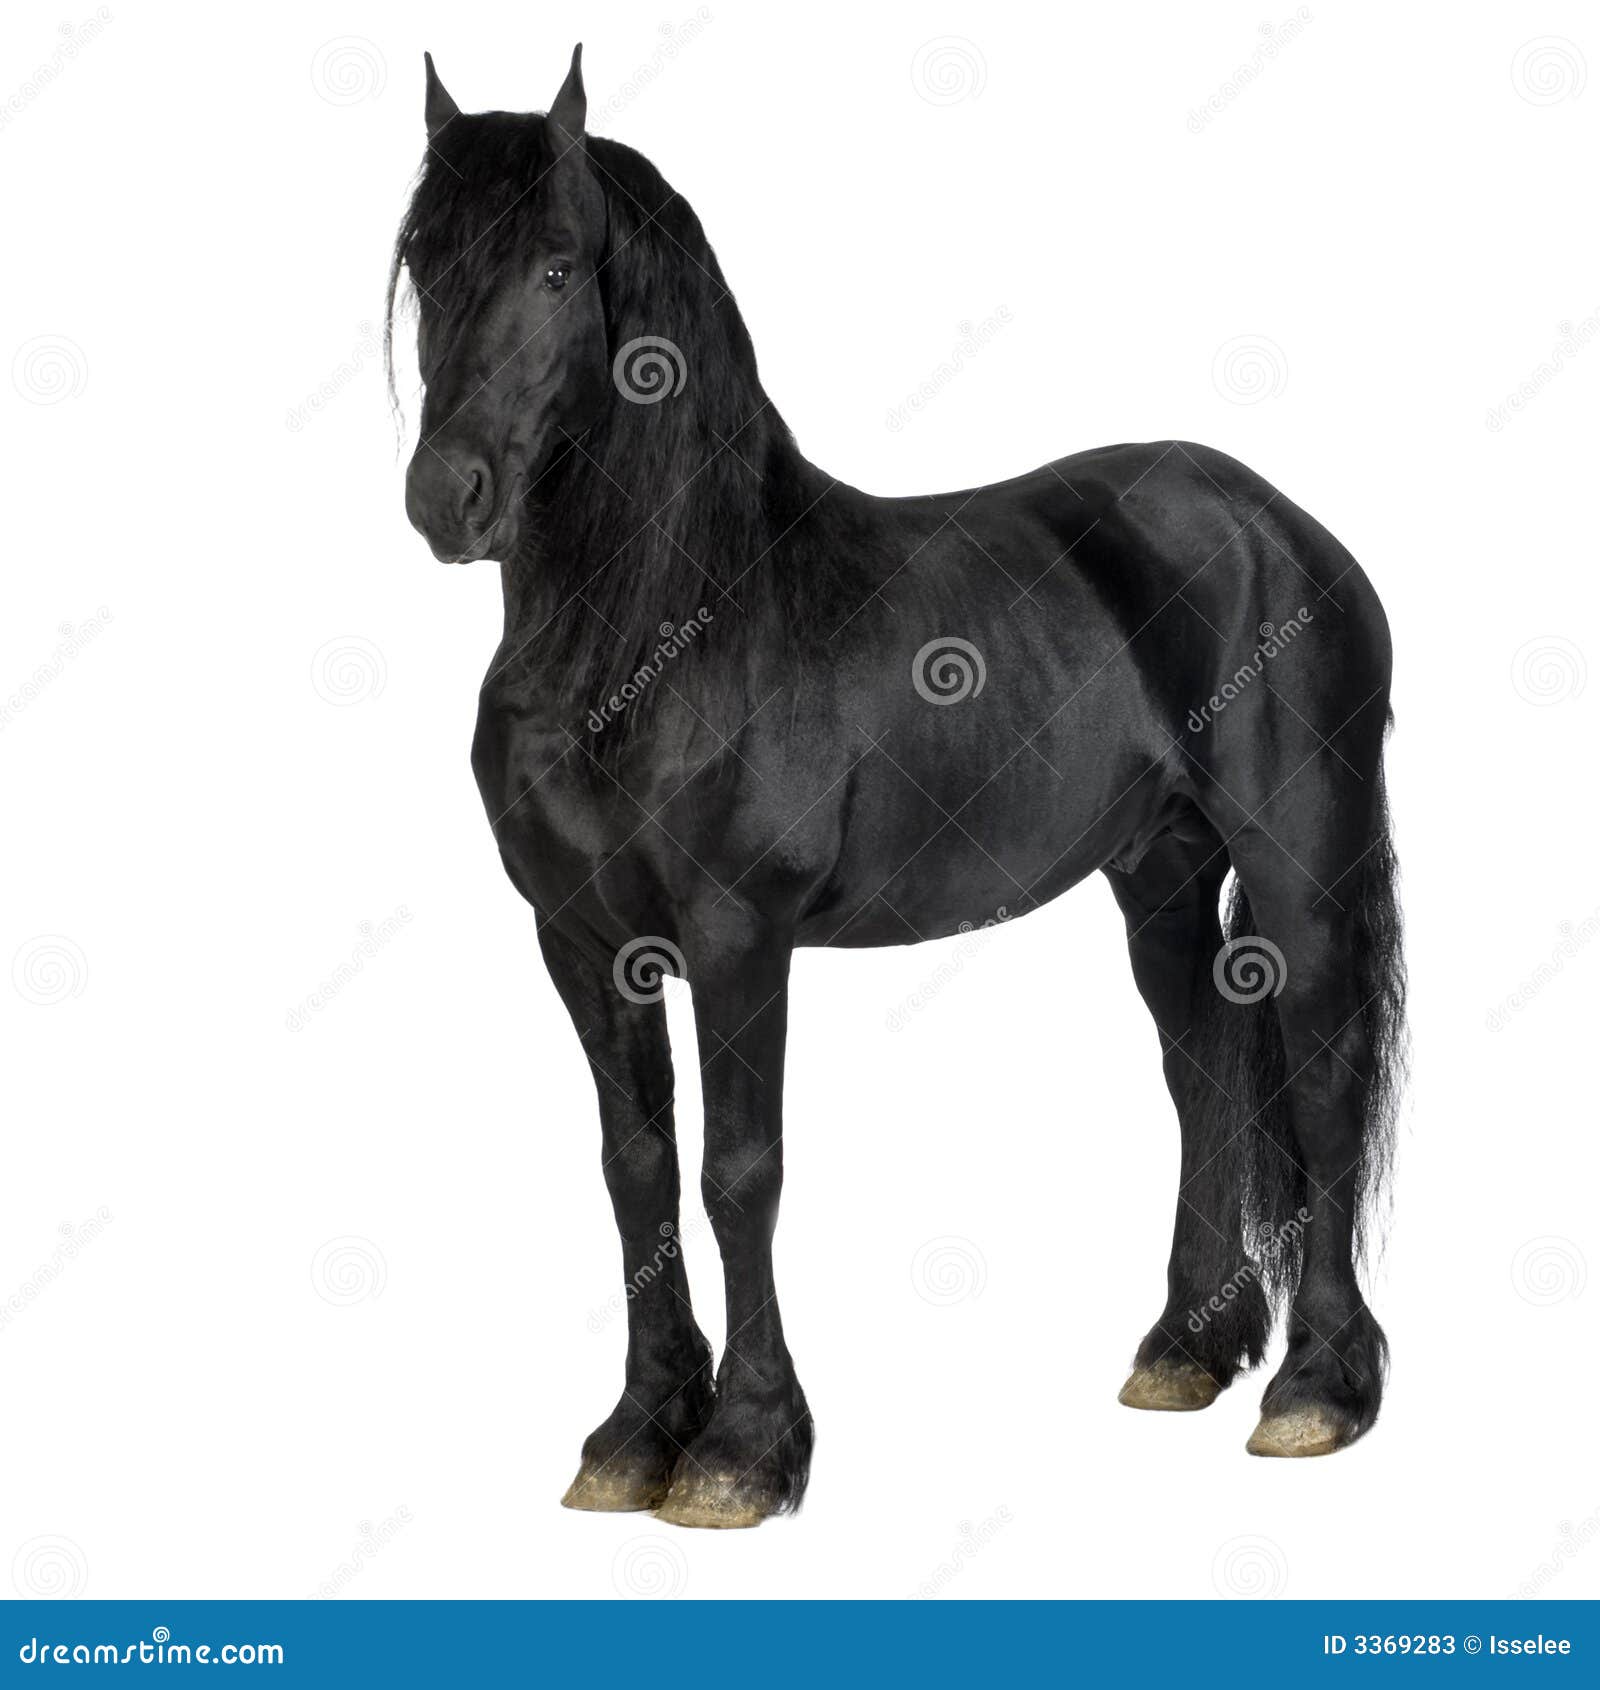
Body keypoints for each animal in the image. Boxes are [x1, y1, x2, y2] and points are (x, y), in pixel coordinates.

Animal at [390, 45, 1406, 1529]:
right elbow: (637, 1171)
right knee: (1204, 1071)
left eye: (559, 264)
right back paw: (1183, 1351)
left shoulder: (739, 935)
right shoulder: (582, 940)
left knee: (1325, 1077)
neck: (658, 630)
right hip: (1162, 872)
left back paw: (1317, 1390)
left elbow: (738, 1171)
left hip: (1298, 861)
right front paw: (636, 1434)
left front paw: (743, 1451)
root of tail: (1277, 526)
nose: (445, 498)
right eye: (424, 261)